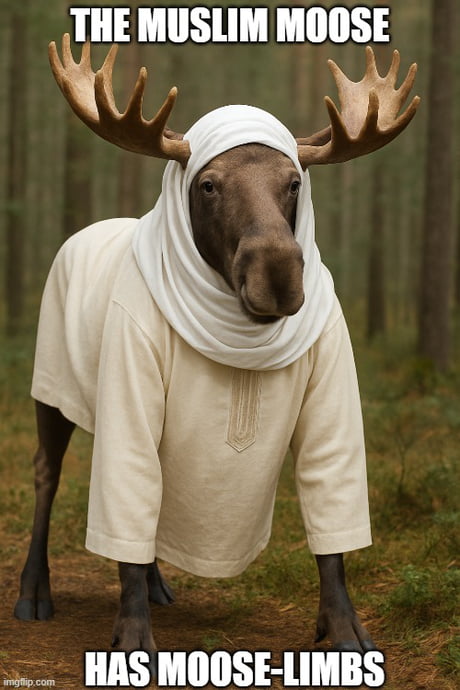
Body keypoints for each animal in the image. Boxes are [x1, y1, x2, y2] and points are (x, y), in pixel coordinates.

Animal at [14, 34, 419, 676]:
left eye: (294, 183)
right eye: (208, 185)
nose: (278, 273)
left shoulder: (332, 389)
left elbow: (333, 529)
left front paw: (343, 630)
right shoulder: (130, 380)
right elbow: (121, 516)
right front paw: (133, 638)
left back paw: (158, 581)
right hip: (50, 391)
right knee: (46, 474)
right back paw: (35, 589)